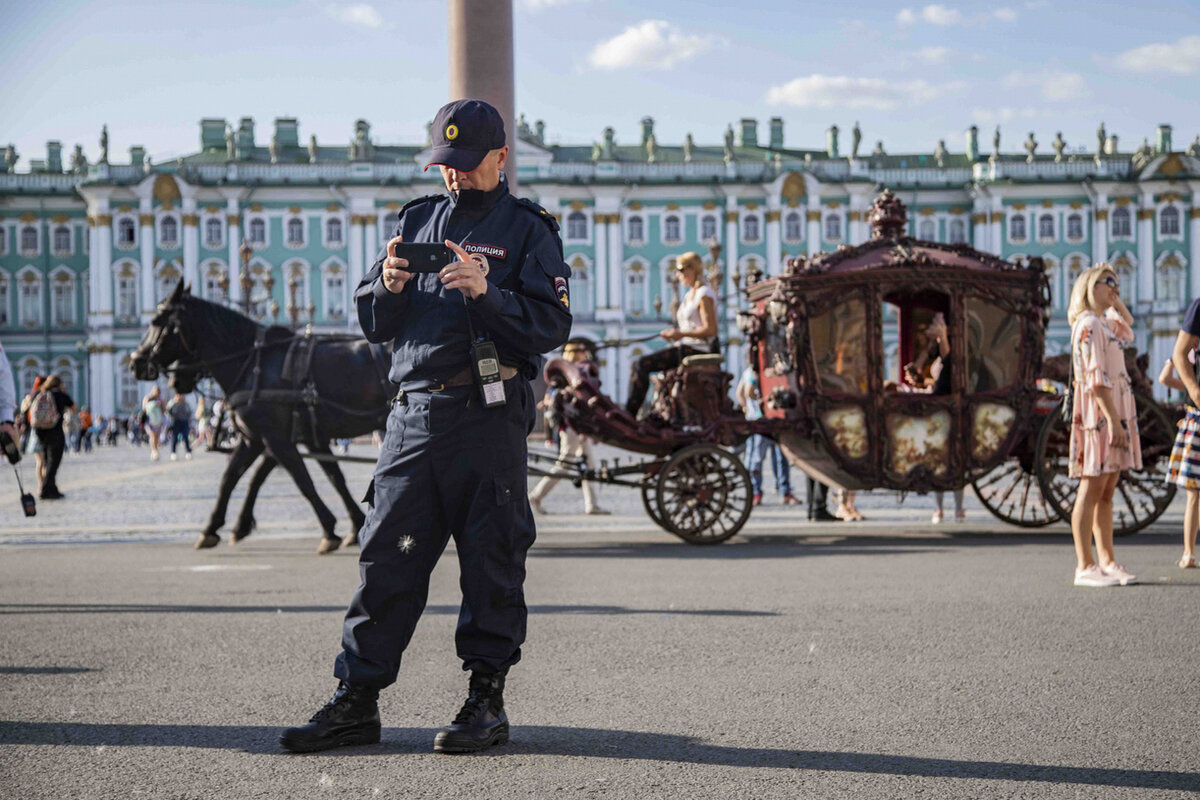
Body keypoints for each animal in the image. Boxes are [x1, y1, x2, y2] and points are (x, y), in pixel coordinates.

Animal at [131, 284, 393, 554]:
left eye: (157, 321)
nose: (135, 362)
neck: (256, 364)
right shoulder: (268, 438)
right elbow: (236, 478)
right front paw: (218, 528)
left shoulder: (276, 439)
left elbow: (302, 480)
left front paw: (330, 530)